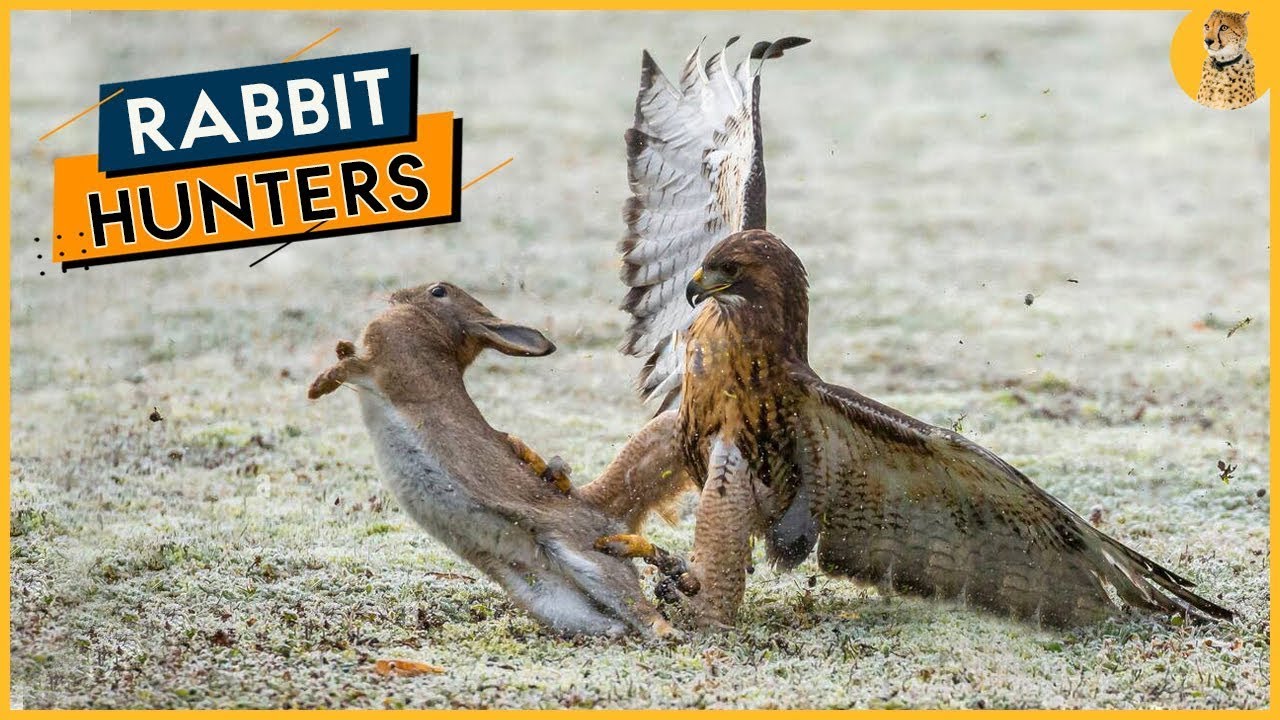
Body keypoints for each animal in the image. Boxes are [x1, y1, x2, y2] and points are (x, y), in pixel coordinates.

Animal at [307, 282, 679, 639]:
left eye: (438, 291)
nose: (397, 296)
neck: (441, 331)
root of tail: (607, 522)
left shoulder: (382, 368)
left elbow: (349, 367)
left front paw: (316, 387)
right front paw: (335, 356)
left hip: (590, 558)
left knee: (639, 606)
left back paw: (668, 631)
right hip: (541, 593)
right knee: (610, 622)